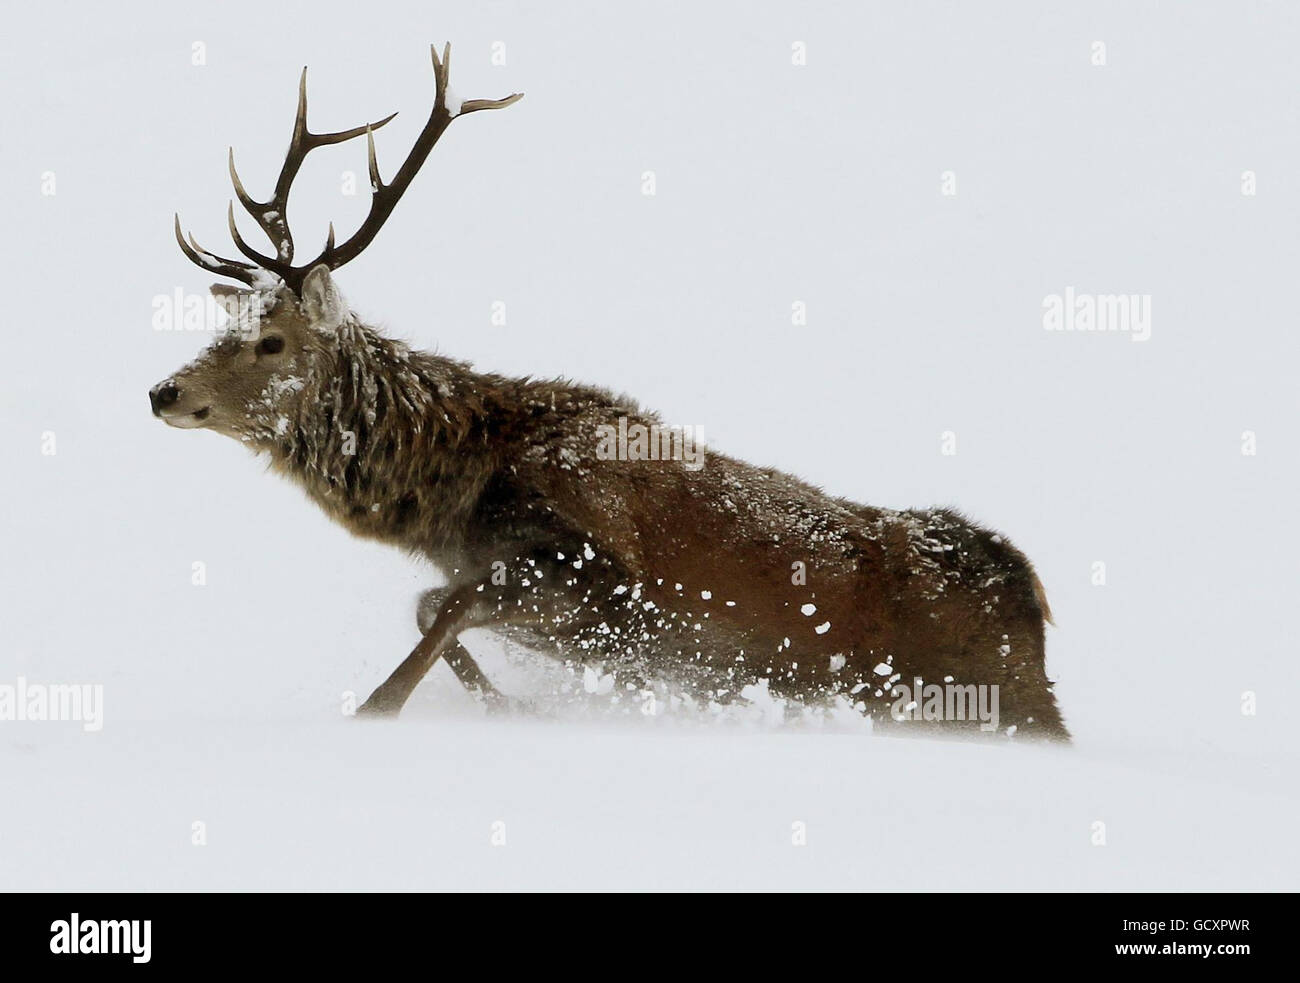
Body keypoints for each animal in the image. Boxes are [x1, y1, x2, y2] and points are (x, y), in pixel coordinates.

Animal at [150, 44, 1069, 741]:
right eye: (228, 326)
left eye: (271, 340)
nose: (162, 391)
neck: (461, 495)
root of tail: (1034, 608)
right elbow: (432, 603)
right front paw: (509, 706)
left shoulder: (608, 576)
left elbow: (446, 605)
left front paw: (379, 709)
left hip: (986, 697)